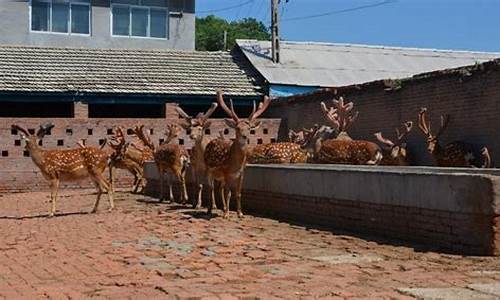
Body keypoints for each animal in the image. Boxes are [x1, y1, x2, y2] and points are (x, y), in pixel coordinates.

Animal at [204, 89, 270, 218]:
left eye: (249, 128)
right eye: (237, 128)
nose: (245, 136)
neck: (235, 164)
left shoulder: (241, 173)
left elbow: (238, 193)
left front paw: (240, 213)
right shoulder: (226, 172)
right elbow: (228, 193)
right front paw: (227, 214)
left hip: (219, 176)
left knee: (219, 188)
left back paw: (224, 208)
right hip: (208, 168)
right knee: (211, 187)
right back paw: (210, 210)